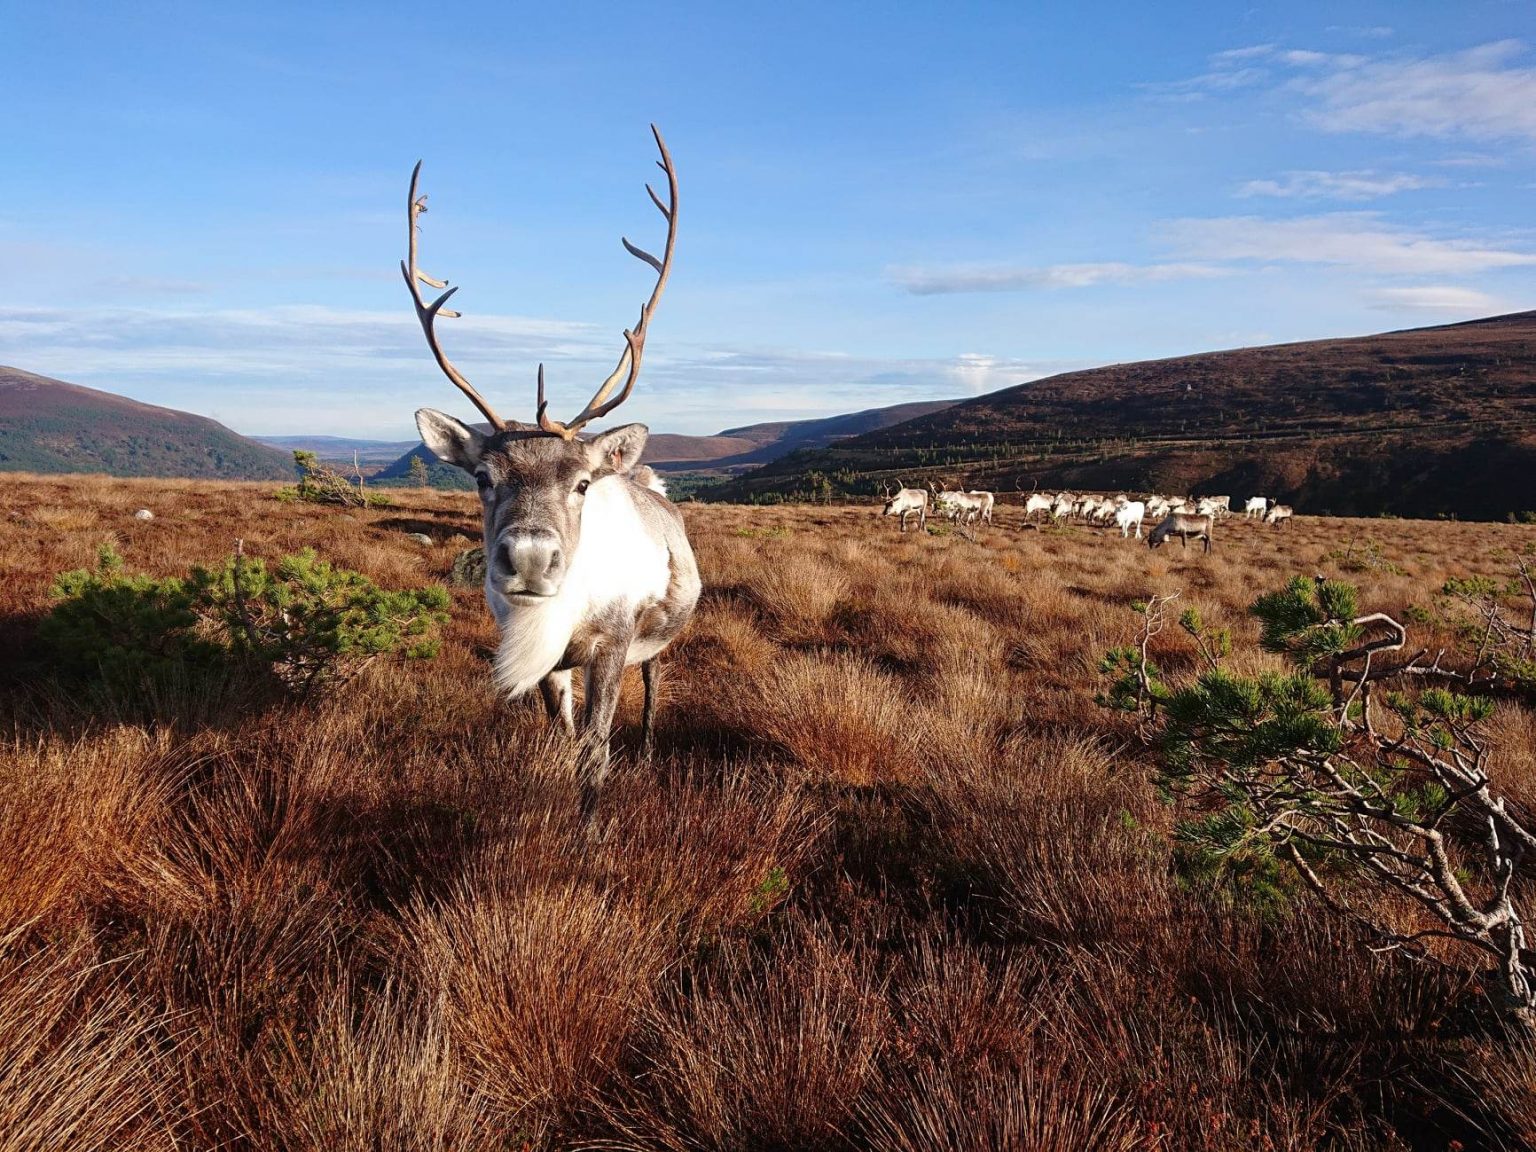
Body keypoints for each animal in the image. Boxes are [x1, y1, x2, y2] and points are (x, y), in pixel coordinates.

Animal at [403, 125, 700, 818]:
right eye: (481, 477)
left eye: (583, 483)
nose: (532, 558)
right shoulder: (548, 659)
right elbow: (561, 740)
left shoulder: (610, 643)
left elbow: (595, 754)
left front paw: (588, 828)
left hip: (660, 638)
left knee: (654, 684)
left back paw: (650, 745)